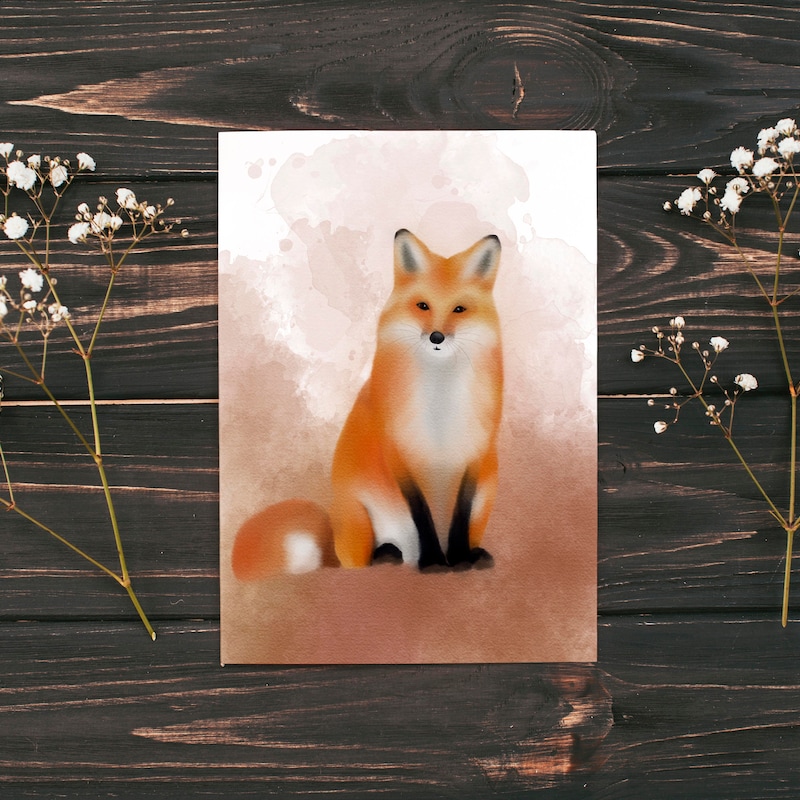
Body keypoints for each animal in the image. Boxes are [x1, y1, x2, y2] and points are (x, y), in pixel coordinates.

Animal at [231, 228, 503, 578]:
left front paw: (458, 559)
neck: (440, 399)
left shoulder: (474, 453)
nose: (436, 337)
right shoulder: (397, 451)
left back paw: (472, 553)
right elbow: (421, 515)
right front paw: (433, 562)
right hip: (360, 524)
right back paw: (389, 556)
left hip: (489, 489)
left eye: (459, 309)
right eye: (423, 306)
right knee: (358, 562)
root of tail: (334, 534)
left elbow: (460, 516)